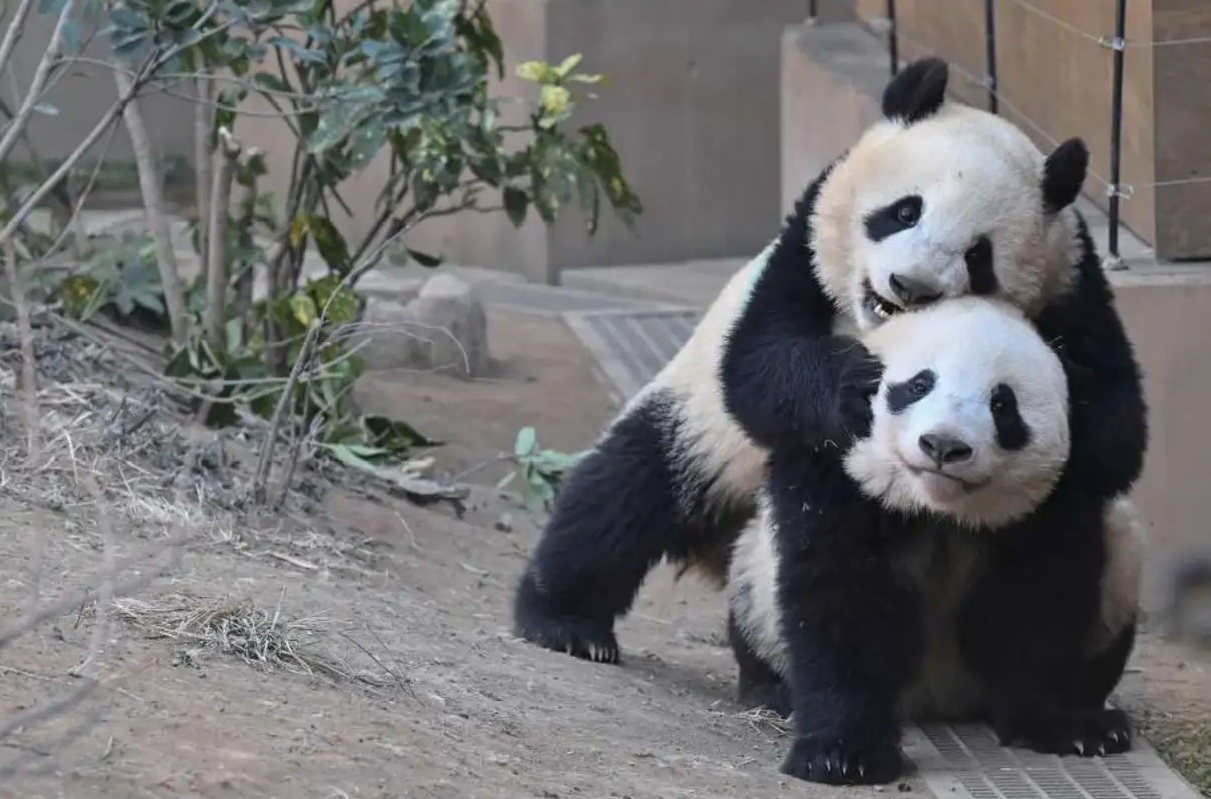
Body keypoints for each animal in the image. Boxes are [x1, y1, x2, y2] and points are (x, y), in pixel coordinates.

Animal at [512, 56, 1147, 667]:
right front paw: (852, 391)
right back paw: (563, 620)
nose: (909, 285)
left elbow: (1118, 427)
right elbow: (758, 366)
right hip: (698, 428)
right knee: (624, 493)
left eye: (978, 255)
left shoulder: (1073, 289)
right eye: (904, 211)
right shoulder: (802, 252)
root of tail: (723, 548)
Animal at [726, 297, 1145, 786]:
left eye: (1002, 404)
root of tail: (938, 700)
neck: (939, 510)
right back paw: (772, 691)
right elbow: (839, 599)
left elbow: (1044, 600)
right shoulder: (838, 476)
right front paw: (841, 754)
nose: (943, 445)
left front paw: (1067, 727)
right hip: (755, 582)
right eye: (918, 385)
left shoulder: (1058, 498)